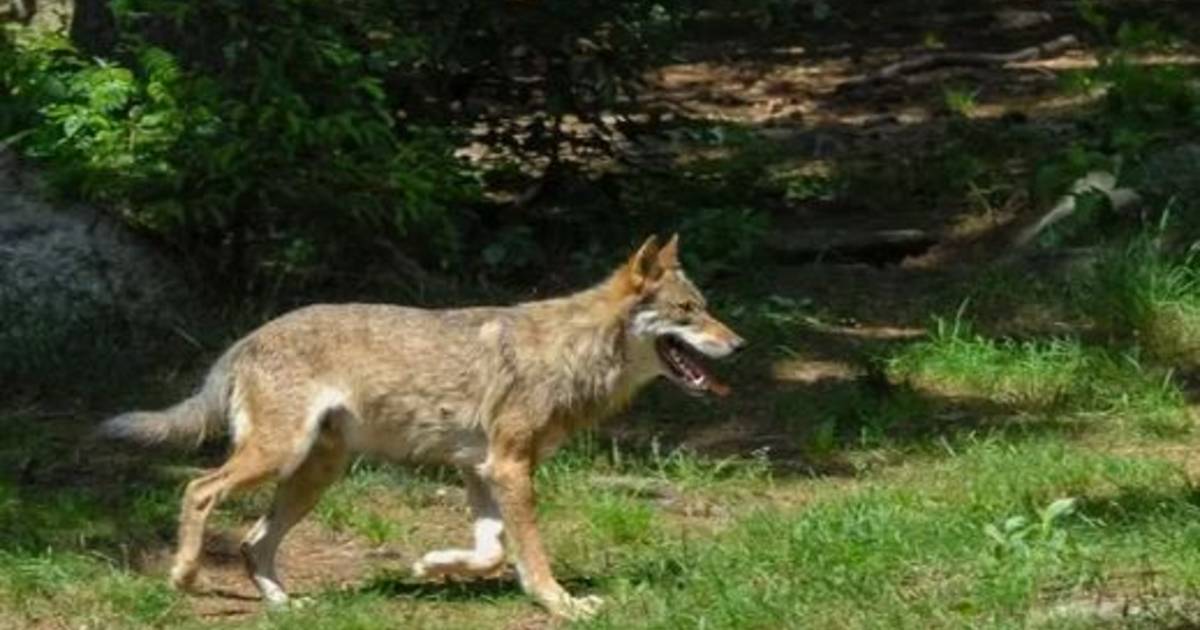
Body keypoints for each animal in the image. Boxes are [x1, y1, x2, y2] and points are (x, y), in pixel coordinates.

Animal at [99, 234, 744, 619]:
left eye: (706, 307)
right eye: (688, 312)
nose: (739, 344)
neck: (575, 350)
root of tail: (248, 338)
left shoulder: (482, 469)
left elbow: (492, 551)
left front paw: (432, 565)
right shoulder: (509, 468)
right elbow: (530, 555)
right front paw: (561, 604)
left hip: (313, 476)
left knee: (254, 542)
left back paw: (285, 606)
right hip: (278, 458)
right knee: (198, 489)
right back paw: (185, 576)